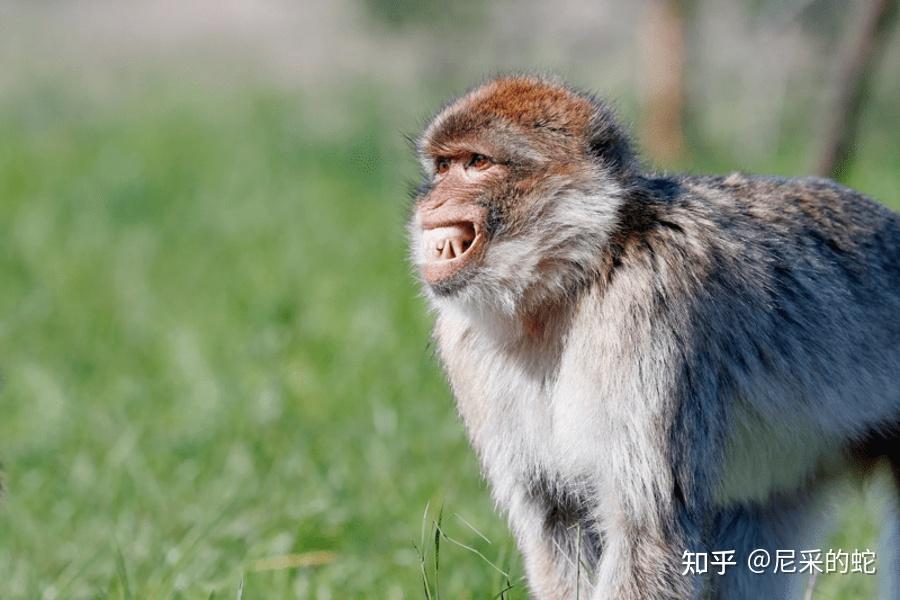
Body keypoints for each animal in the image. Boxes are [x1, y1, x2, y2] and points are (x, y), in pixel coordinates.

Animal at [407, 75, 900, 600]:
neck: (570, 279)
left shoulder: (646, 312)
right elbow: (557, 519)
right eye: (443, 166)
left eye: (477, 163)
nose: (430, 200)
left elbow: (647, 524)